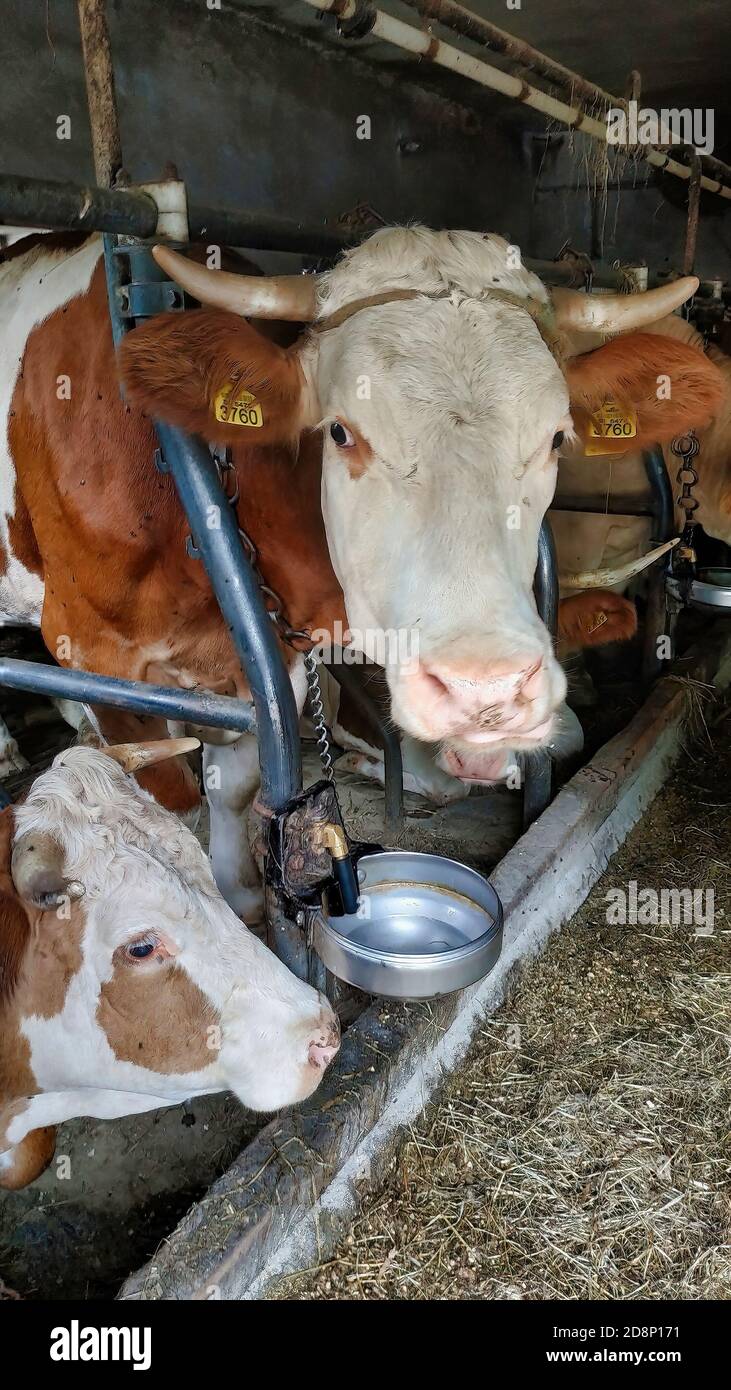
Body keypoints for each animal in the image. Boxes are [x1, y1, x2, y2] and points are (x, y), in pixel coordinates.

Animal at [0, 227, 722, 917]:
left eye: (554, 439)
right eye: (342, 432)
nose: (484, 693)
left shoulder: (267, 655)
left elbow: (235, 782)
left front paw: (240, 897)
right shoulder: (93, 653)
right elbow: (164, 799)